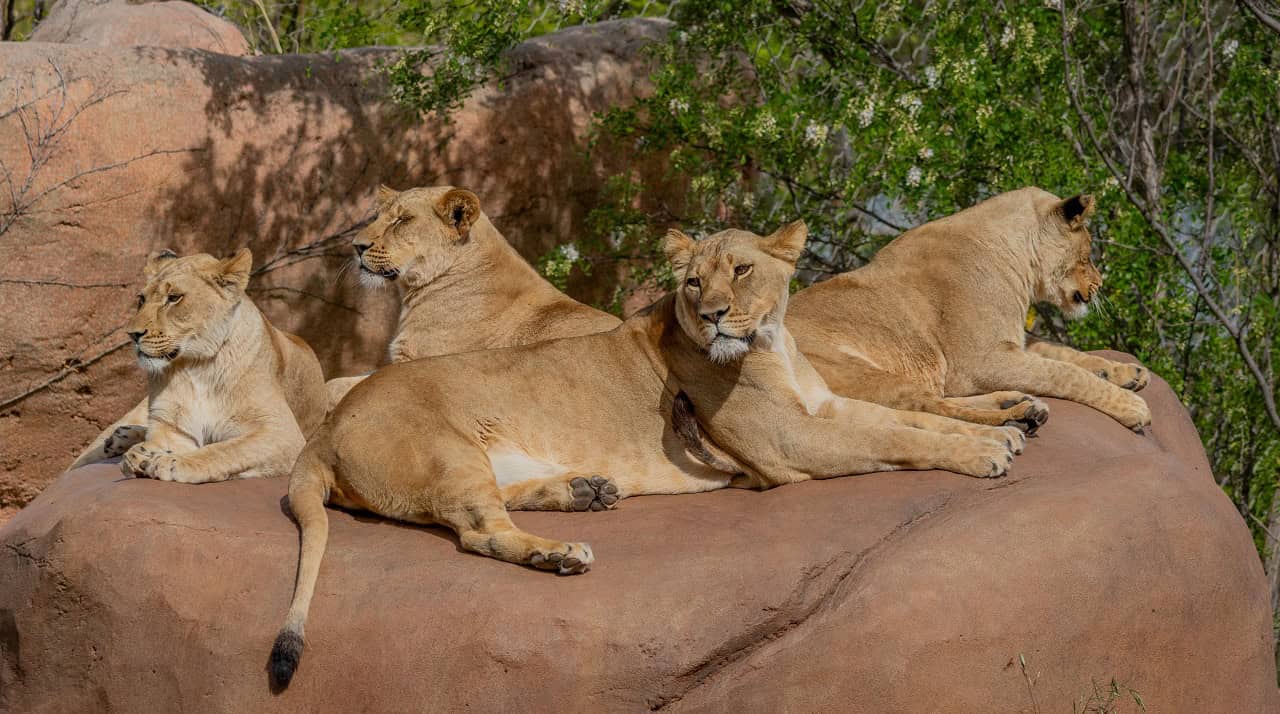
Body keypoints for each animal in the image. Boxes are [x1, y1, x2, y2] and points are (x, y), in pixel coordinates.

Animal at [69, 249, 326, 483]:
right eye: (141, 300)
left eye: (174, 297)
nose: (132, 334)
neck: (199, 366)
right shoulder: (174, 427)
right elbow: (166, 439)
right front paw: (142, 455)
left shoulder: (281, 432)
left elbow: (224, 450)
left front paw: (169, 463)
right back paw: (123, 438)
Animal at [268, 221, 1026, 687]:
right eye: (693, 282)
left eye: (741, 271)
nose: (715, 315)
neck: (774, 343)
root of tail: (327, 427)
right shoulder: (790, 444)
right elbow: (897, 437)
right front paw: (989, 449)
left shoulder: (824, 409)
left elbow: (905, 418)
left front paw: (1003, 424)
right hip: (448, 452)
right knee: (480, 534)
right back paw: (560, 553)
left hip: (483, 459)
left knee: (495, 507)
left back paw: (586, 492)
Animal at [786, 188, 1152, 432]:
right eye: (1088, 255)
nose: (1100, 283)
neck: (1016, 255)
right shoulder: (979, 361)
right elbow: (1064, 372)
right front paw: (1130, 405)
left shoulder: (1010, 342)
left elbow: (1062, 353)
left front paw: (1125, 372)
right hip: (858, 371)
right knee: (926, 407)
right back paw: (1018, 416)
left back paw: (1013, 401)